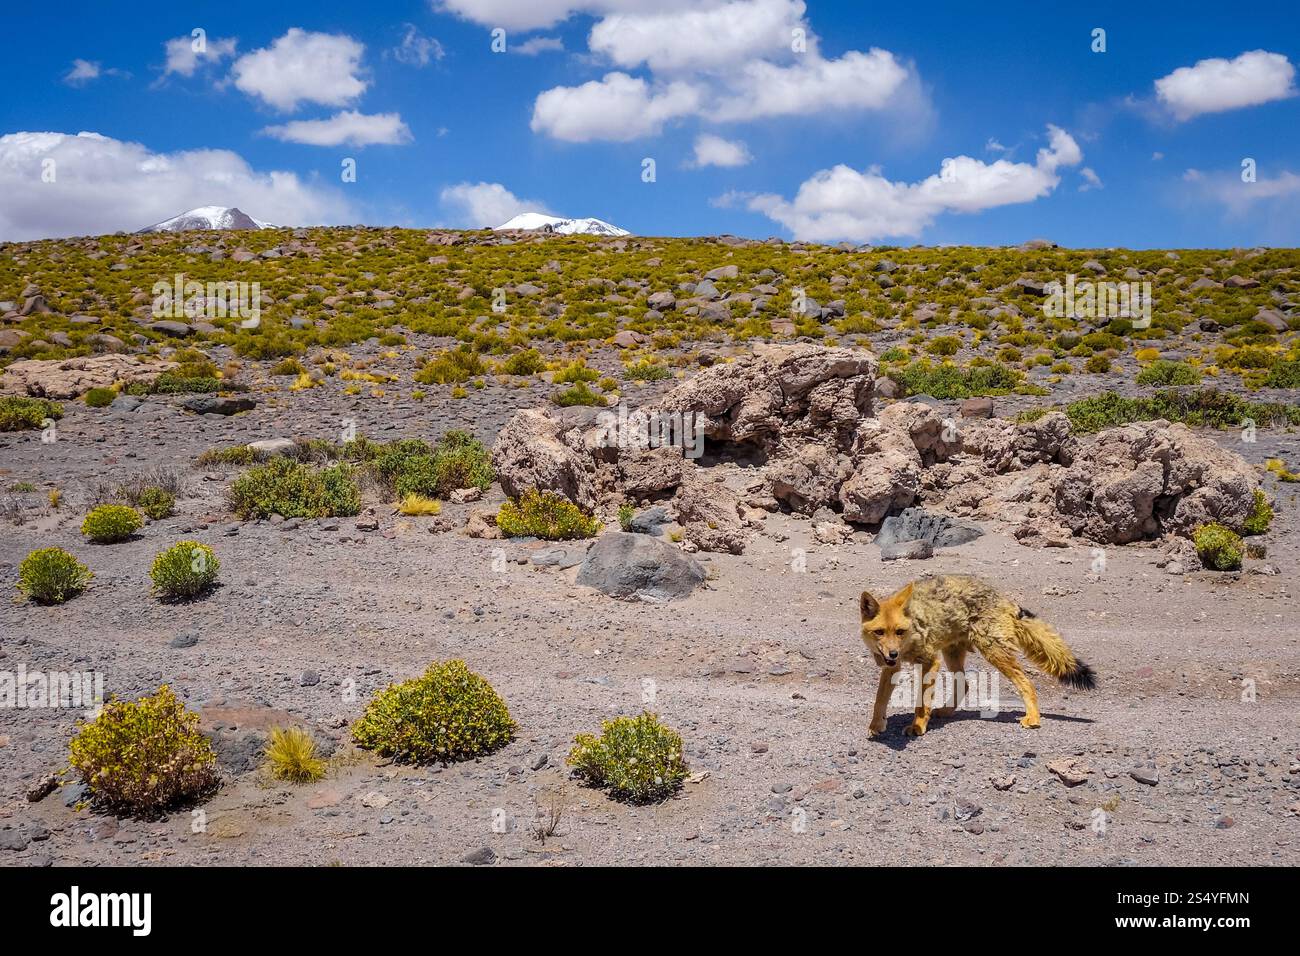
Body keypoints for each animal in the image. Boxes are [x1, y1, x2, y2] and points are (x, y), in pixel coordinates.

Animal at [859, 574, 1095, 738]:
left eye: (900, 632)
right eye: (879, 632)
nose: (893, 652)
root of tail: (1004, 599)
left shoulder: (930, 661)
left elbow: (922, 701)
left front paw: (917, 726)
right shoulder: (892, 667)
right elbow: (879, 700)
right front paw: (876, 725)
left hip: (993, 653)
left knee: (1026, 683)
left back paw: (1033, 718)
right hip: (953, 655)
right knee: (965, 684)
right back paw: (946, 711)